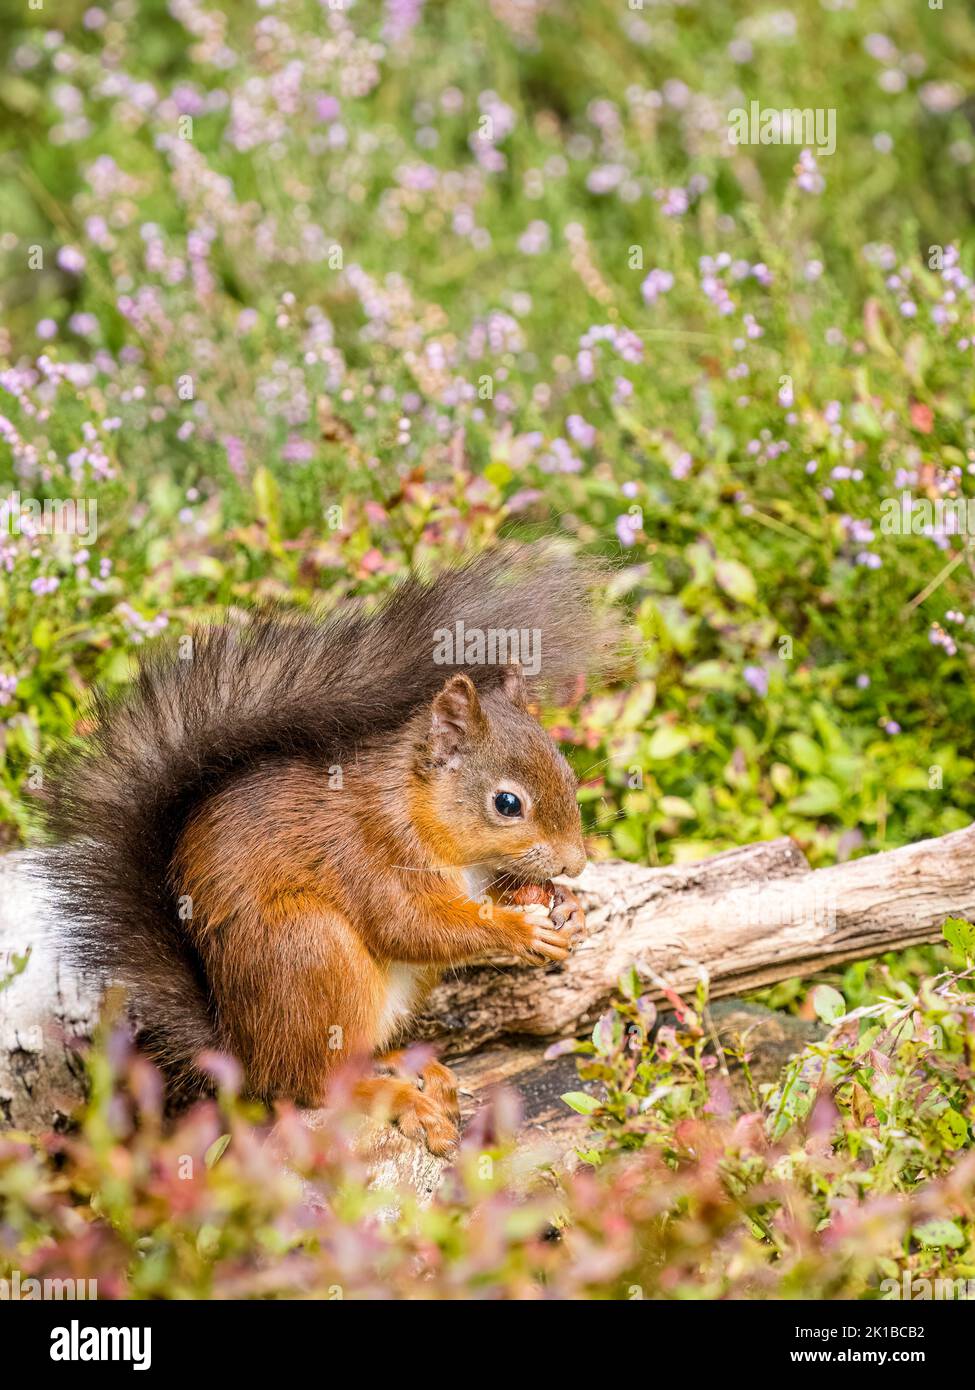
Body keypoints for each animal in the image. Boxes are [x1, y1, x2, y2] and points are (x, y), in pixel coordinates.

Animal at [42, 543, 615, 1154]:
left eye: (568, 776)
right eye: (507, 803)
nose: (575, 862)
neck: (424, 811)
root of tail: (242, 1057)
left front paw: (565, 905)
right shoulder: (369, 847)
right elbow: (409, 923)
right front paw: (518, 930)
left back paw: (408, 1064)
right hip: (309, 949)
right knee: (312, 1087)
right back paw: (394, 1097)